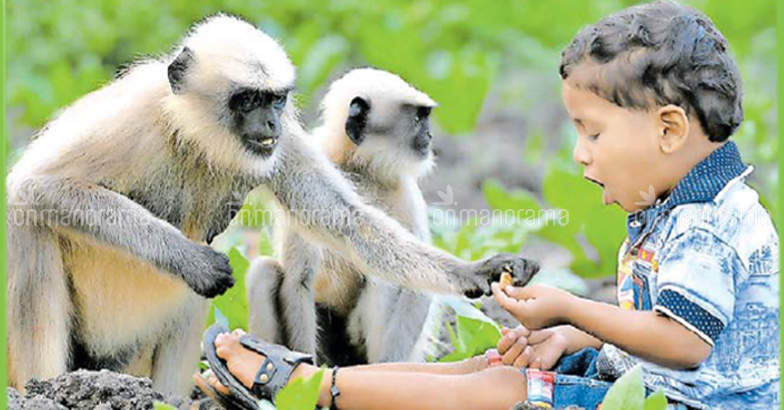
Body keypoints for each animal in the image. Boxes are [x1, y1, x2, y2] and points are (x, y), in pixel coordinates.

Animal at [246, 68, 539, 365]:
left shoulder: (406, 191)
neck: (359, 168)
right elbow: (300, 278)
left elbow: (414, 284)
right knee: (264, 271)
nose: (430, 135)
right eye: (419, 118)